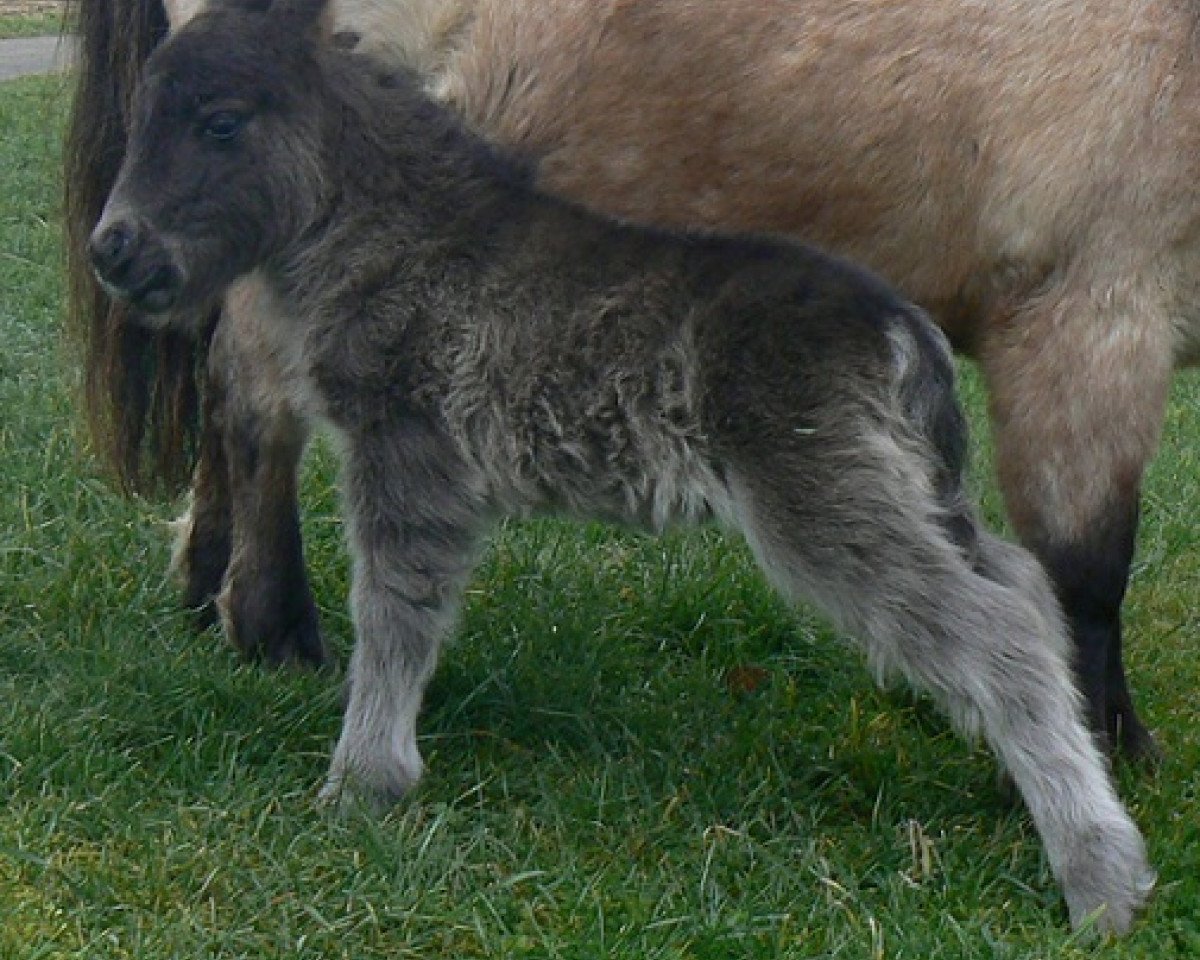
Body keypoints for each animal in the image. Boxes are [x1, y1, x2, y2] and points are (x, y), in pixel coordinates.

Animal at [89, 0, 1155, 931]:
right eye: (144, 119)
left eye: (221, 123)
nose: (113, 248)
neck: (399, 229)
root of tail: (901, 327)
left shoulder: (411, 450)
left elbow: (394, 613)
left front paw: (362, 784)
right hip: (911, 486)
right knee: (1020, 584)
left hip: (822, 499)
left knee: (997, 633)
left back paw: (1100, 878)